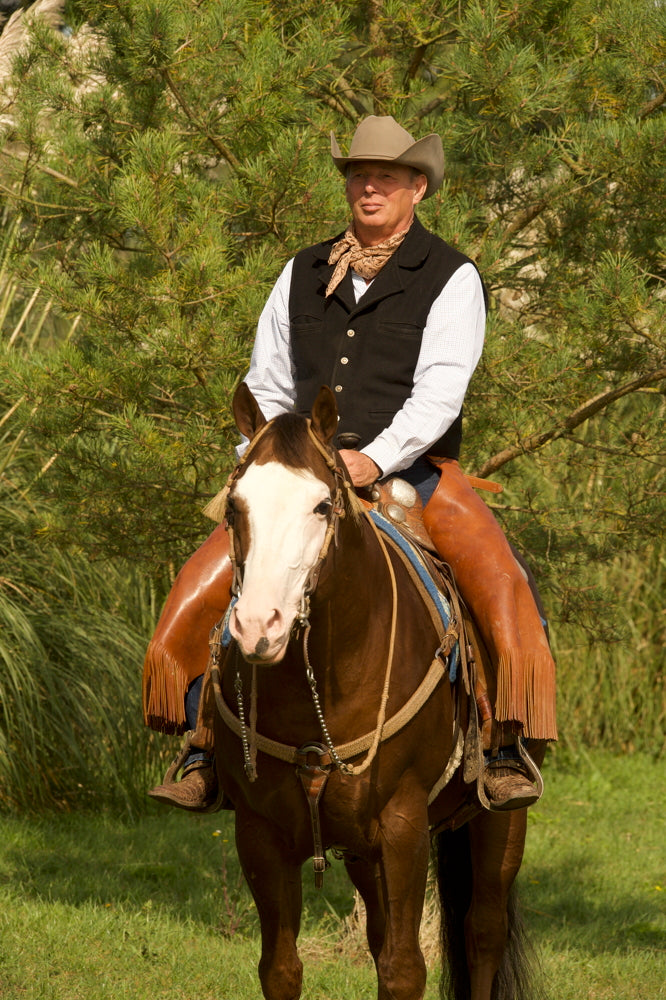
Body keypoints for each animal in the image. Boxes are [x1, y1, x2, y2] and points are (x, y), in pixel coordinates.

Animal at [206, 382, 537, 1000]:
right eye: (236, 506)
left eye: (320, 505)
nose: (260, 626)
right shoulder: (260, 833)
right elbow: (282, 969)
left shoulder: (403, 826)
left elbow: (405, 970)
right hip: (361, 847)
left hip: (501, 817)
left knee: (482, 929)